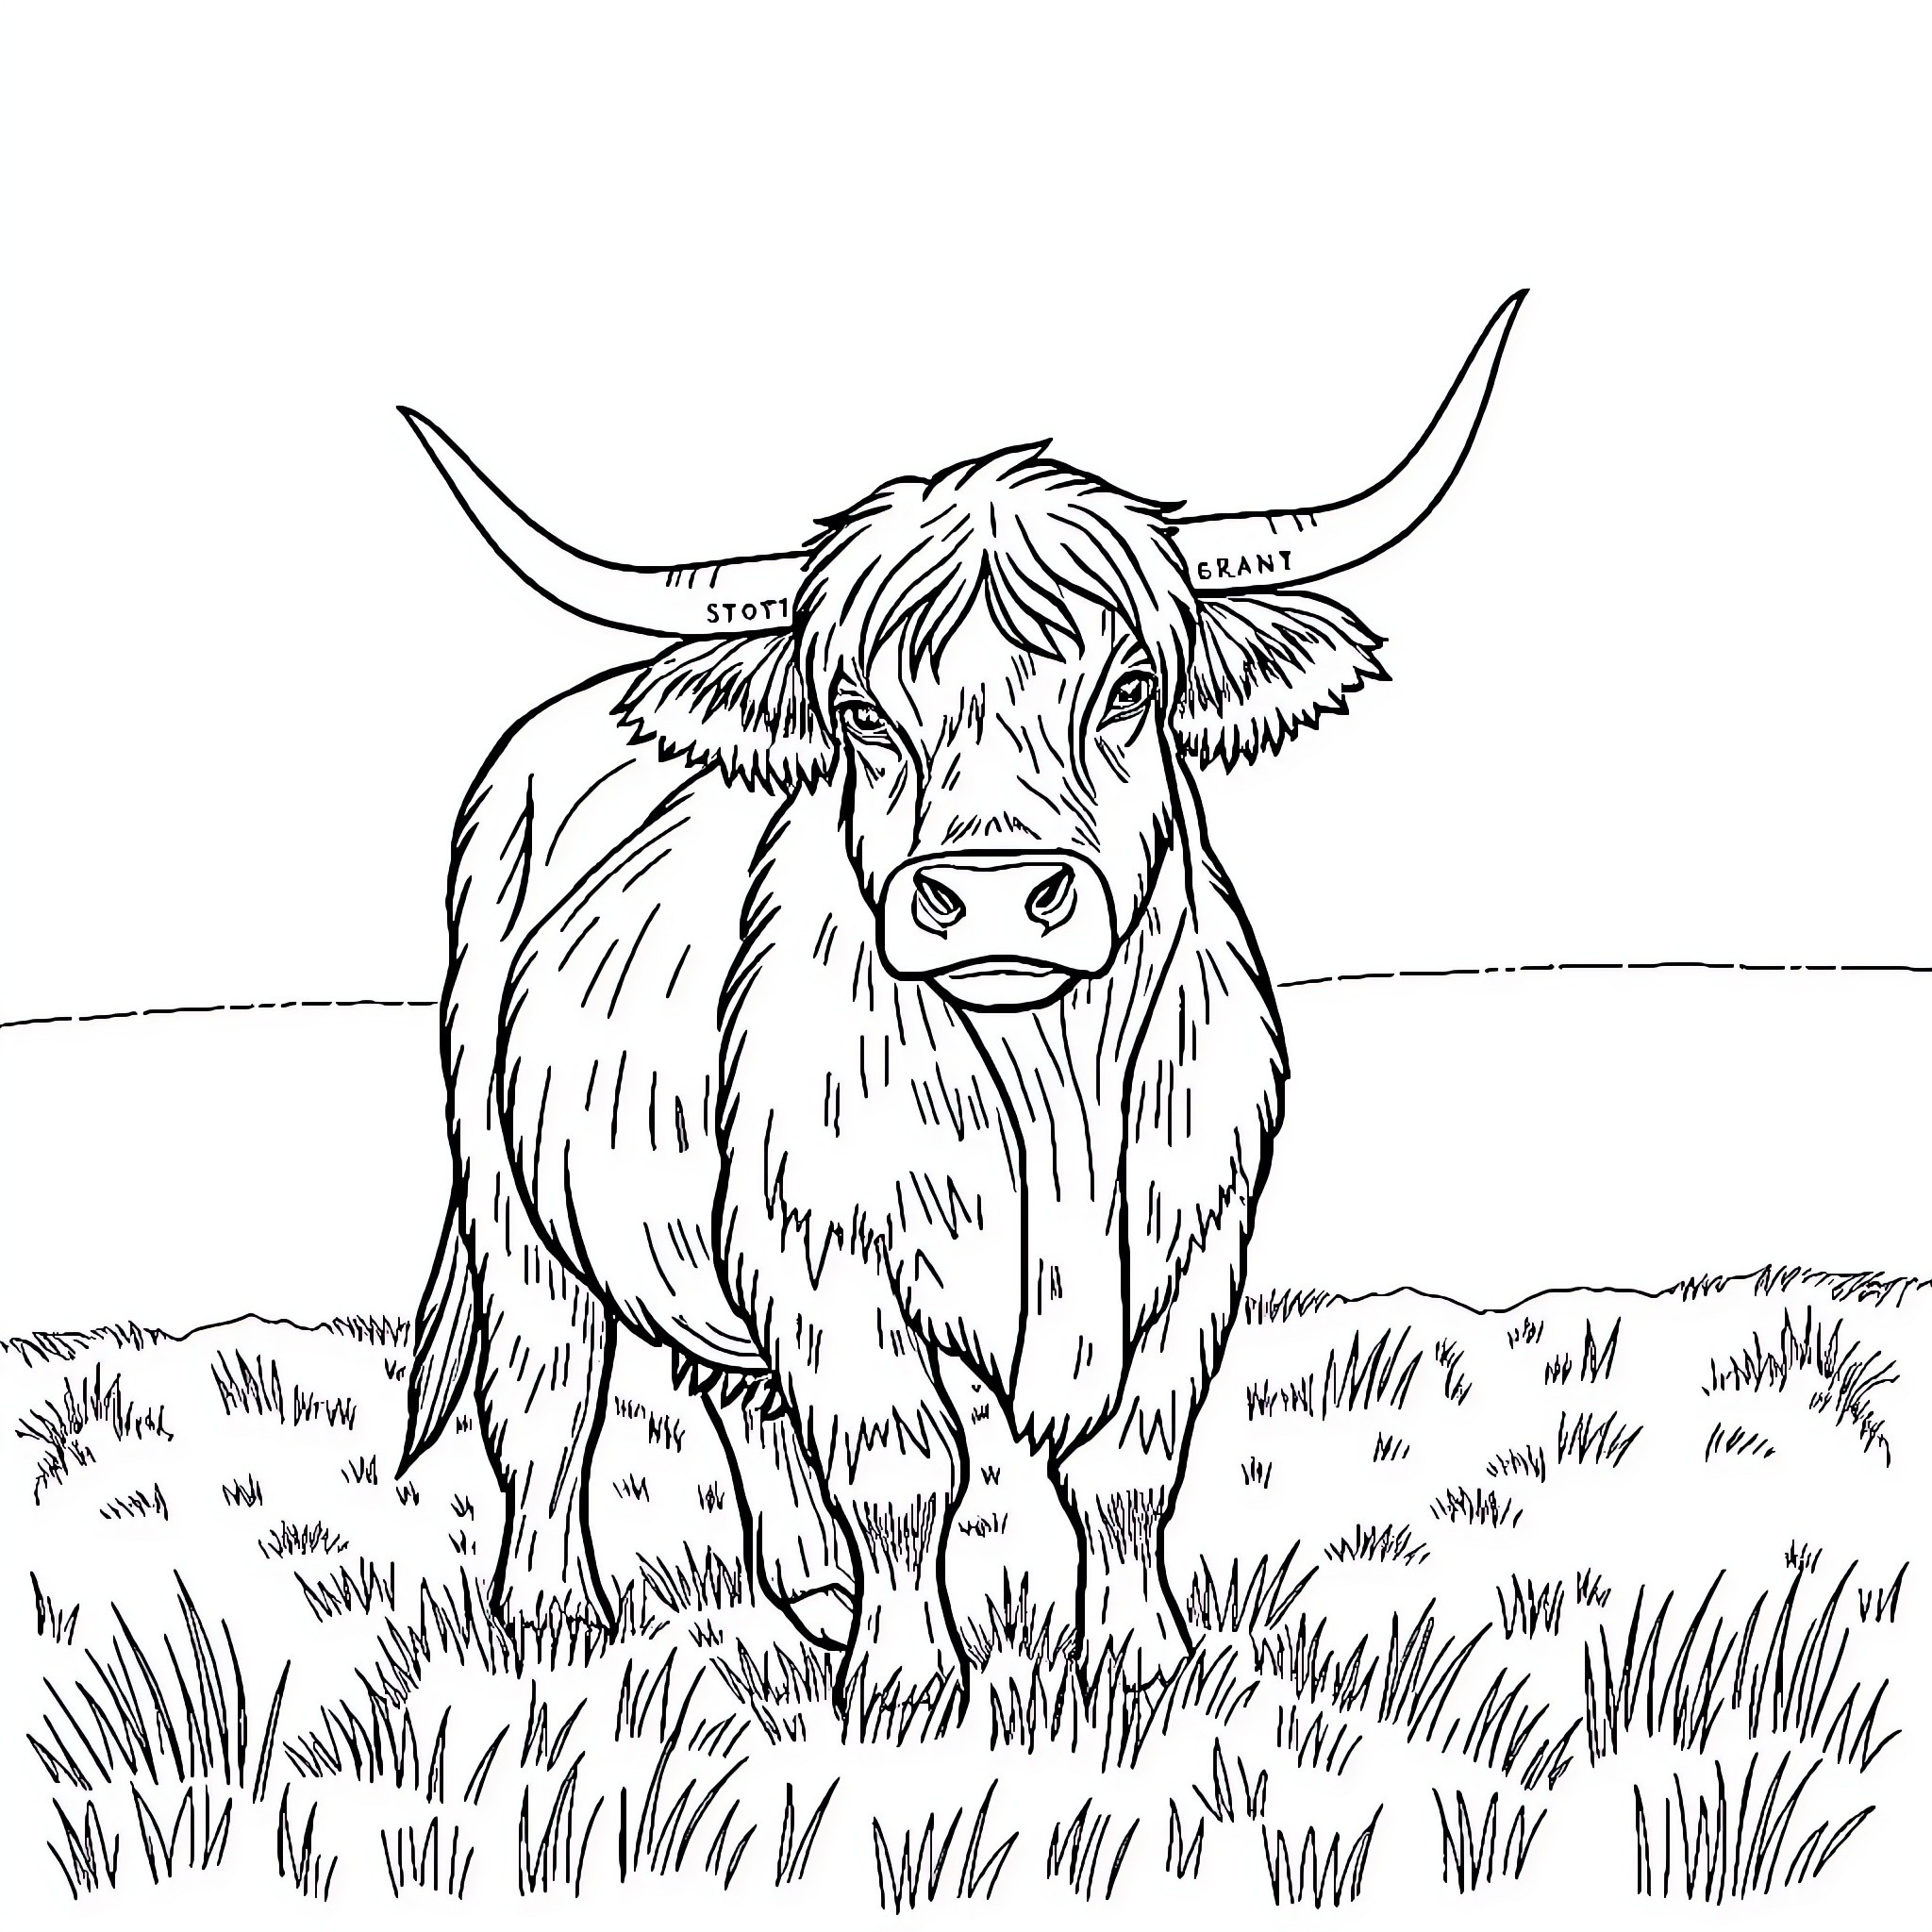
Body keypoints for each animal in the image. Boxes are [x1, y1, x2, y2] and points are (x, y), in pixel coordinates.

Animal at [396, 294, 1524, 1728]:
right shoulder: (825, 1253)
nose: (989, 893)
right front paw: (908, 1683)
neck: (1052, 1101)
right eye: (860, 714)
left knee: (732, 1389)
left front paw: (1141, 1663)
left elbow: (1130, 1468)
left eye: (1130, 690)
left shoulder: (1193, 1246)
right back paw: (554, 1612)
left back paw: (812, 1591)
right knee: (548, 1392)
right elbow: (899, 1463)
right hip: (509, 1193)